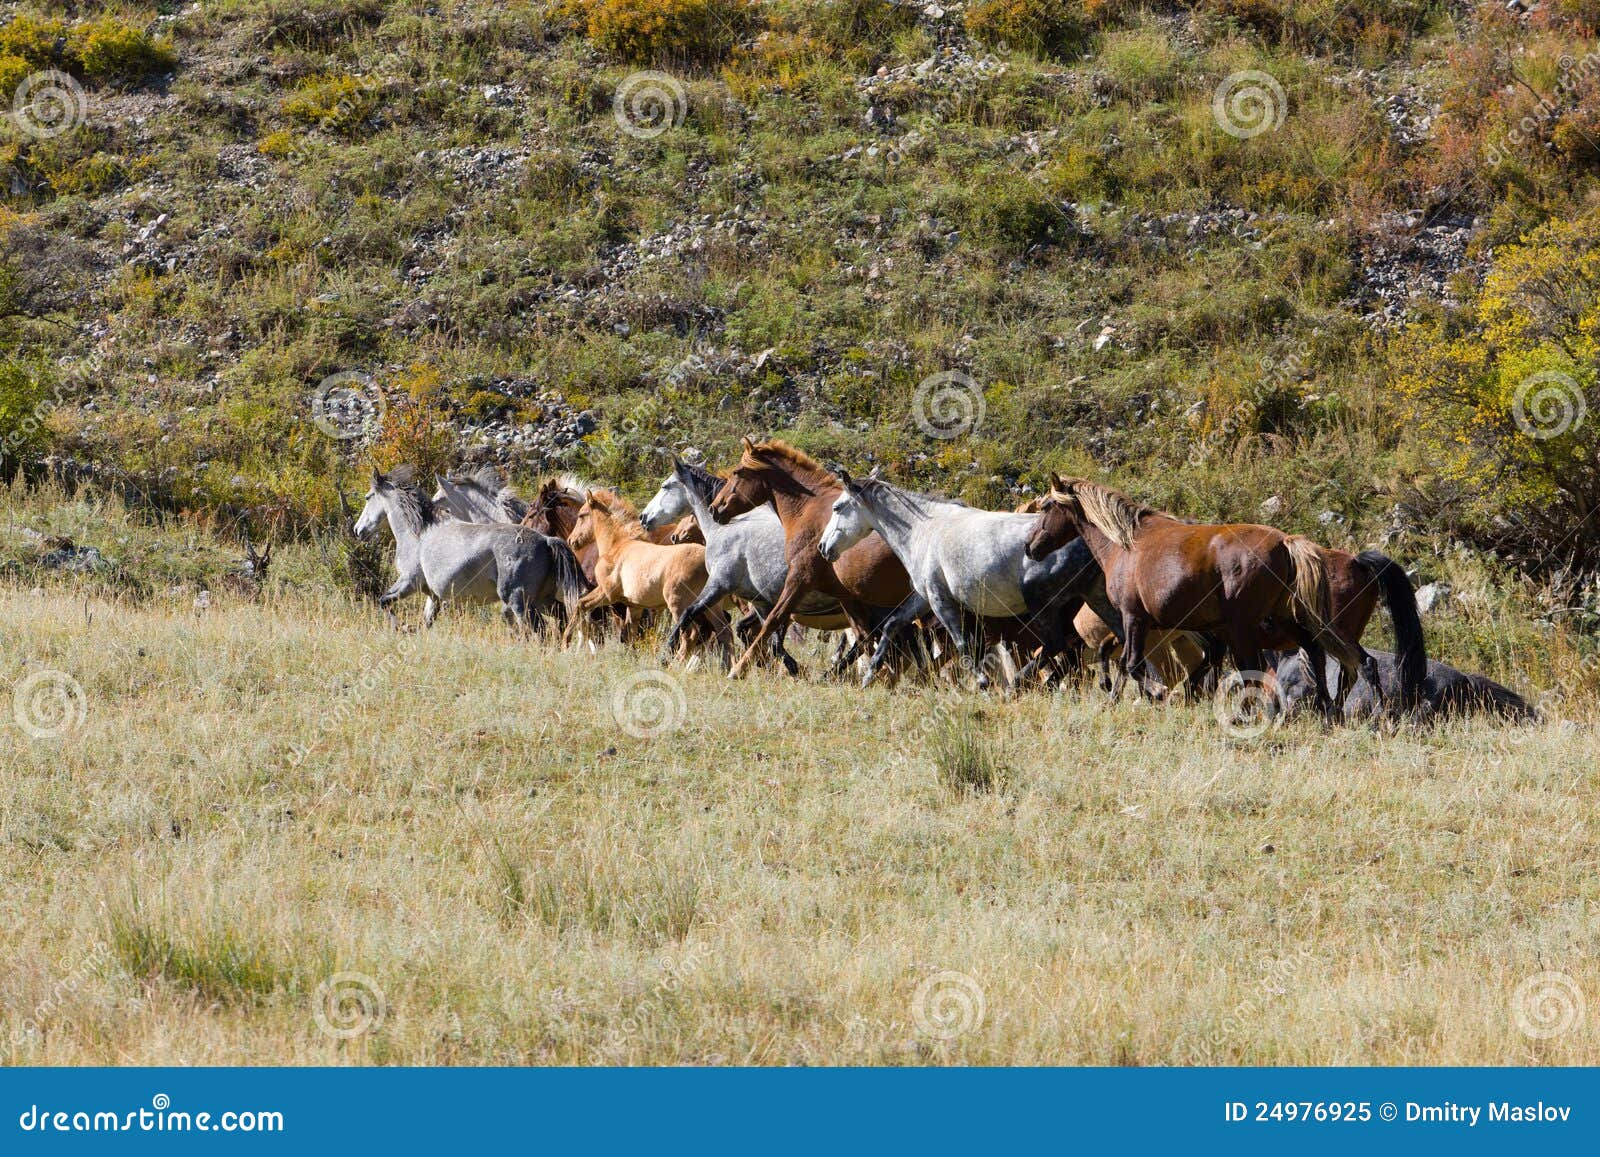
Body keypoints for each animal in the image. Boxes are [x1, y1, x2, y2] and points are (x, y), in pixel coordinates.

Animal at [352, 466, 588, 633]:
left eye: (367, 497)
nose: (358, 530)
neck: (418, 534)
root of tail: (547, 540)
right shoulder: (433, 596)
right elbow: (424, 624)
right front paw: (408, 629)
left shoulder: (408, 583)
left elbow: (383, 601)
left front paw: (401, 626)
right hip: (543, 599)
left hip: (520, 601)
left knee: (540, 632)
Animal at [564, 490, 733, 663]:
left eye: (581, 515)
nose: (571, 540)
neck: (617, 545)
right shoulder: (634, 606)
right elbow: (629, 633)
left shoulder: (607, 594)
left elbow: (580, 604)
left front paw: (567, 643)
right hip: (710, 605)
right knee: (724, 631)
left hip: (679, 604)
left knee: (690, 635)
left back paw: (675, 664)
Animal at [707, 439, 917, 680]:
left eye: (738, 472)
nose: (714, 508)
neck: (806, 510)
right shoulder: (844, 595)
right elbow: (863, 636)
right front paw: (878, 674)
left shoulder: (799, 579)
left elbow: (772, 621)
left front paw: (738, 669)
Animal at [1024, 473, 1380, 717]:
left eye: (1047, 507)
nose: (1030, 546)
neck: (1125, 545)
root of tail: (1286, 542)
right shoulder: (1144, 624)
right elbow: (1126, 663)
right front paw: (1118, 700)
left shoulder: (1133, 617)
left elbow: (1134, 664)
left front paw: (1159, 694)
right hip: (1281, 621)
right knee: (1325, 658)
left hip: (1246, 627)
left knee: (1261, 669)